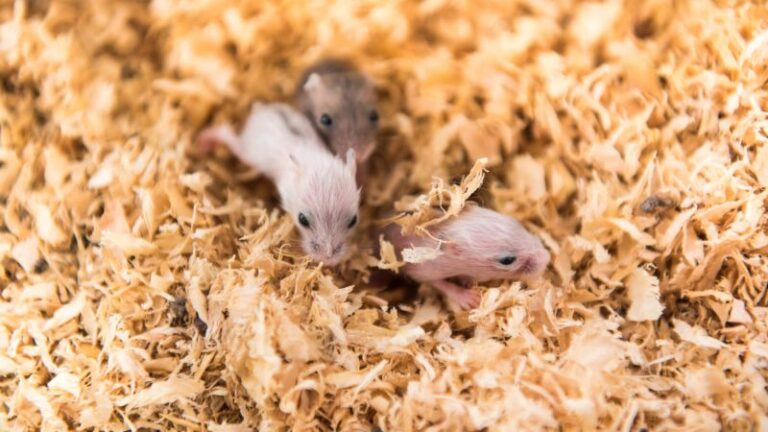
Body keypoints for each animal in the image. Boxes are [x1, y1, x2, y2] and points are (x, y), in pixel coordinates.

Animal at [197, 103, 360, 265]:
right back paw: (207, 139)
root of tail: (261, 109)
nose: (328, 259)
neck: (316, 161)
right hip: (249, 151)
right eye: (302, 220)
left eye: (354, 220)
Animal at [383, 205, 550, 309]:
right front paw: (471, 299)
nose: (547, 258)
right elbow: (439, 283)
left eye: (516, 222)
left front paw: (467, 281)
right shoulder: (424, 268)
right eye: (507, 260)